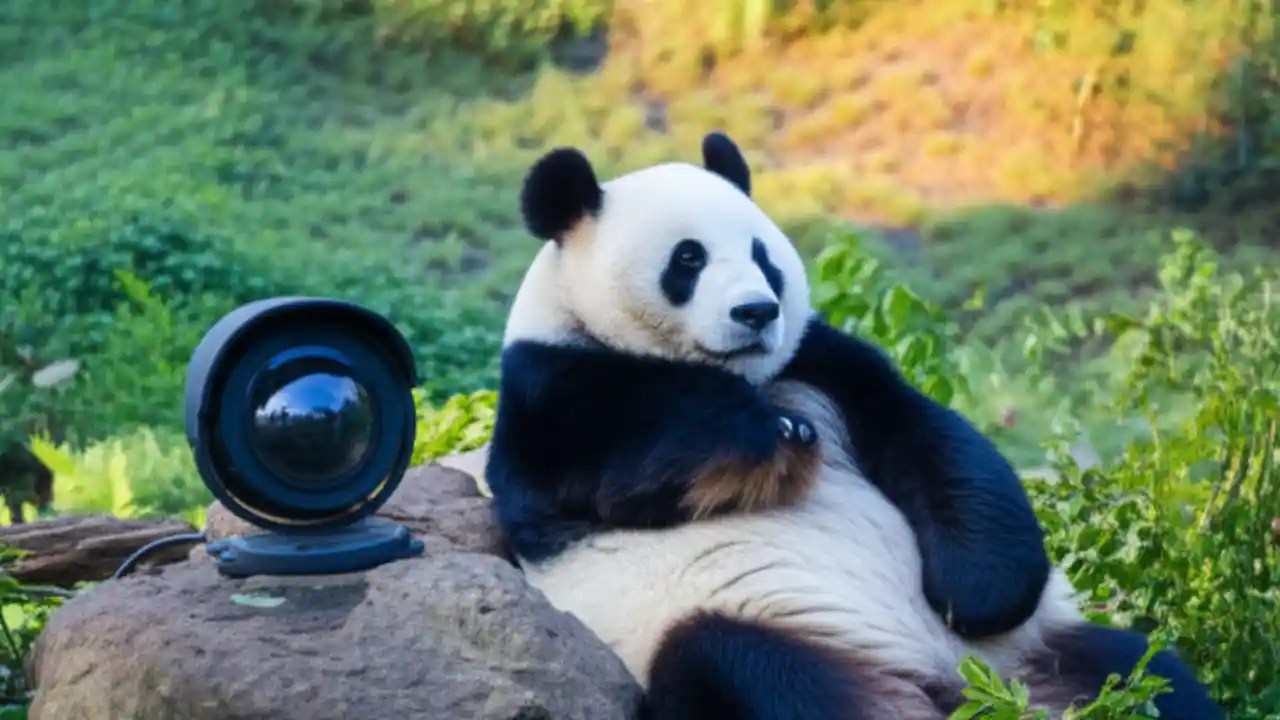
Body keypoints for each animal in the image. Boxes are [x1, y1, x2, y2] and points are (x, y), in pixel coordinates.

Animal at [483, 131, 1222, 720]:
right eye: (688, 259)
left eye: (762, 253)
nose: (757, 311)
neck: (741, 372)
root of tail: (960, 690)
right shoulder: (547, 395)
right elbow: (615, 467)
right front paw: (771, 436)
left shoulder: (823, 361)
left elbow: (936, 442)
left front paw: (973, 594)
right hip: (759, 628)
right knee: (752, 672)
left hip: (1043, 650)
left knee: (1144, 670)